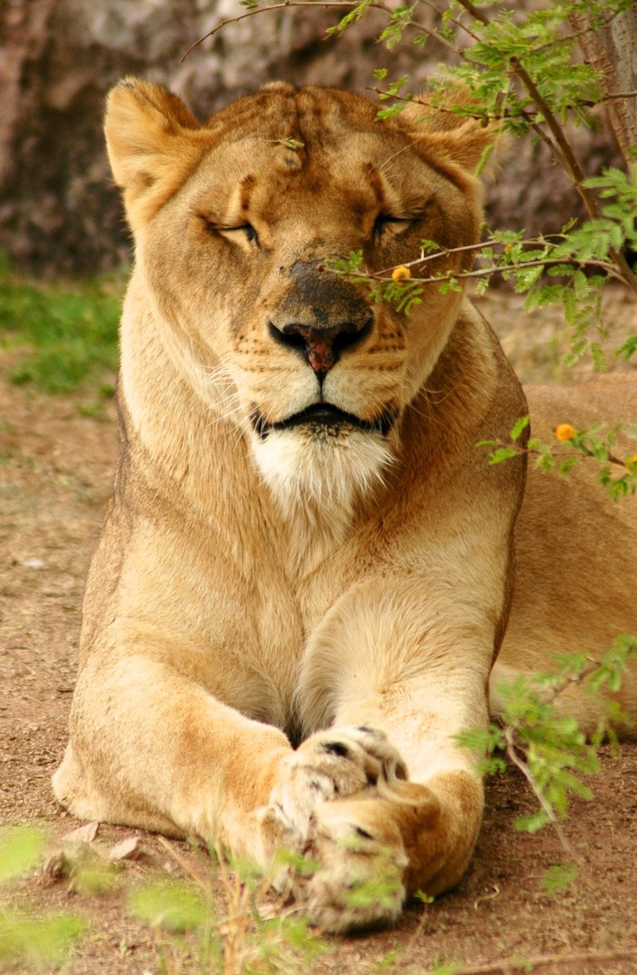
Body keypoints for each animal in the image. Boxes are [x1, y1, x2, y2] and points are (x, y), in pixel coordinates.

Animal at [53, 79, 637, 932]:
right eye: (239, 228)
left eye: (388, 220)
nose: (319, 334)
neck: (301, 511)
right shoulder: (122, 674)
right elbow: (205, 744)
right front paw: (303, 793)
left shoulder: (421, 655)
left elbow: (452, 802)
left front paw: (369, 837)